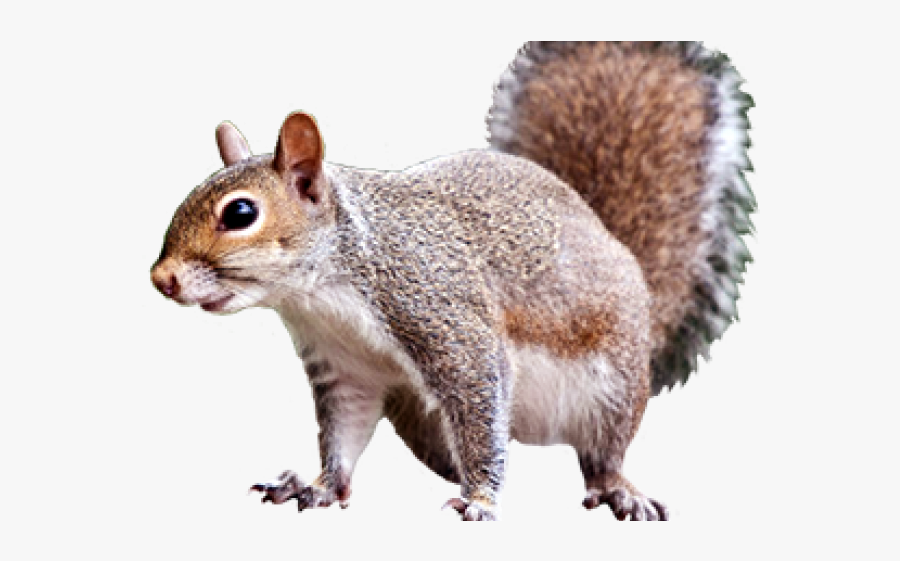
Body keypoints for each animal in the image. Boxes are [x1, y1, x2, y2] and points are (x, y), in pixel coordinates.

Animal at [151, 41, 754, 521]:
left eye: (240, 213)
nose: (161, 279)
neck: (324, 292)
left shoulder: (442, 313)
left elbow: (479, 404)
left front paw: (481, 501)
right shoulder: (346, 366)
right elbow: (346, 429)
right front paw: (320, 487)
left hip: (613, 384)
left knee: (601, 454)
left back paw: (617, 489)